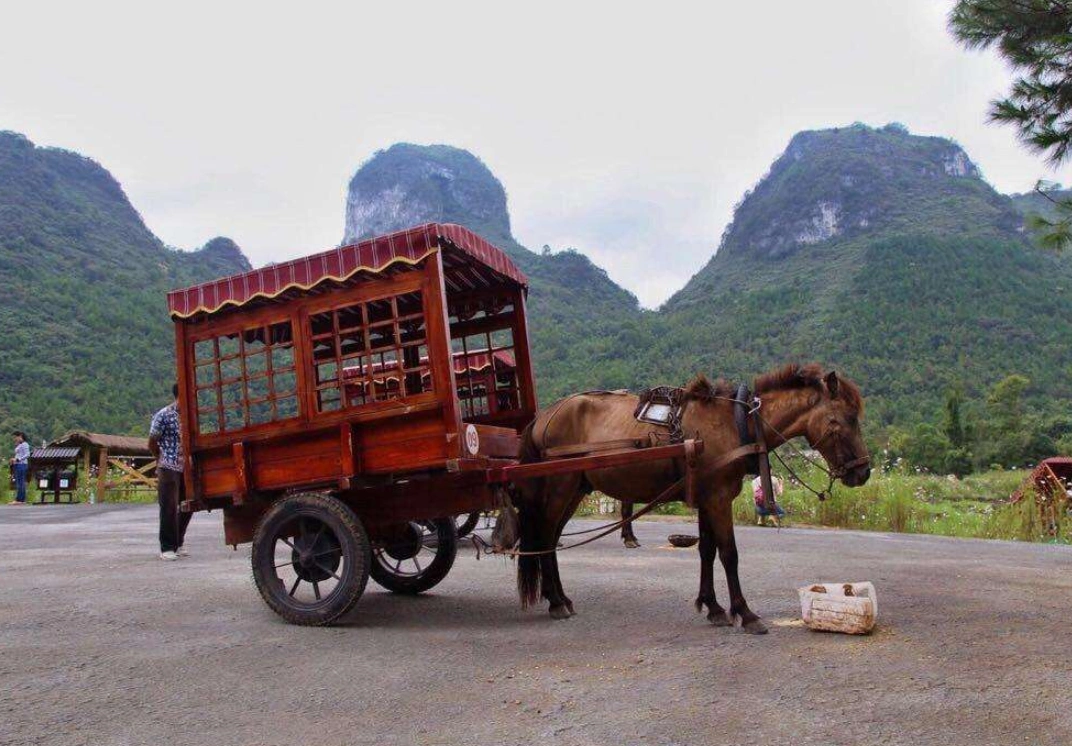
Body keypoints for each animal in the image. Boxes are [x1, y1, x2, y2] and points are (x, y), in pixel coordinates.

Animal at [506, 363, 871, 633]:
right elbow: (729, 554)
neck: (737, 424)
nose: (863, 473)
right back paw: (556, 601)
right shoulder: (719, 498)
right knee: (546, 536)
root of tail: (545, 416)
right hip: (561, 486)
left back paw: (558, 597)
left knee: (550, 538)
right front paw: (745, 613)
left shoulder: (708, 497)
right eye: (845, 419)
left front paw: (713, 607)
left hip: (575, 489)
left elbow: (706, 551)